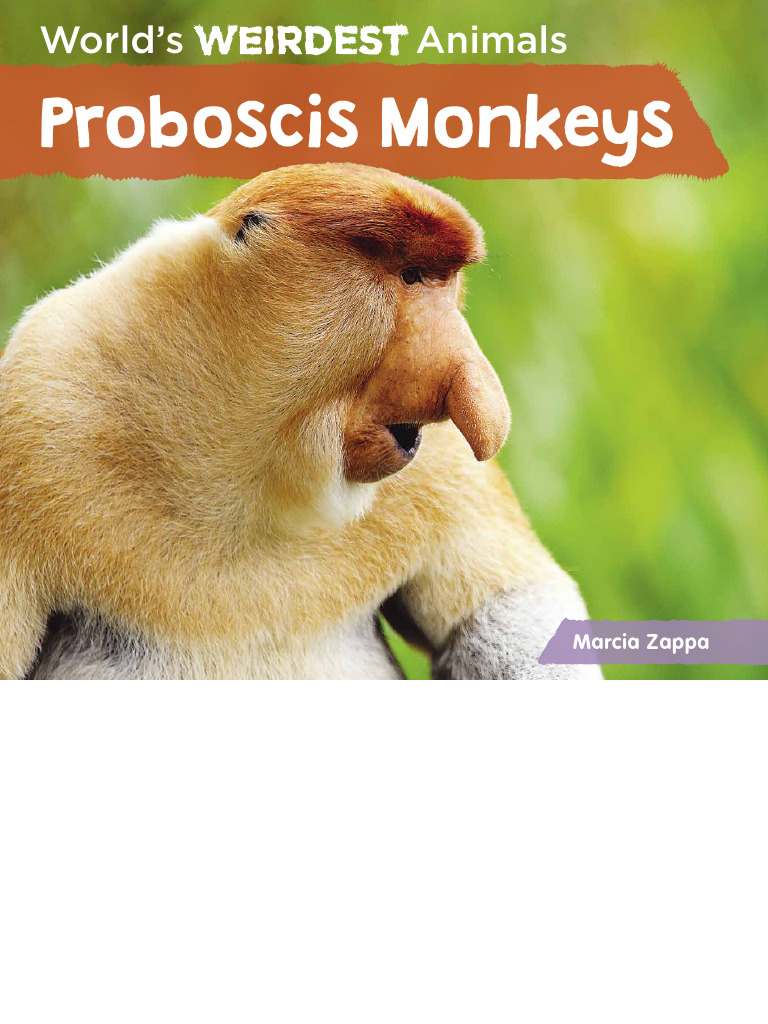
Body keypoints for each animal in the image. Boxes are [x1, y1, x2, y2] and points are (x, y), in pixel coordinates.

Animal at [0, 163, 599, 679]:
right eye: (411, 276)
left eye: (445, 282)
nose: (484, 401)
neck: (243, 458)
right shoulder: (38, 400)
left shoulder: (439, 466)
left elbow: (503, 606)